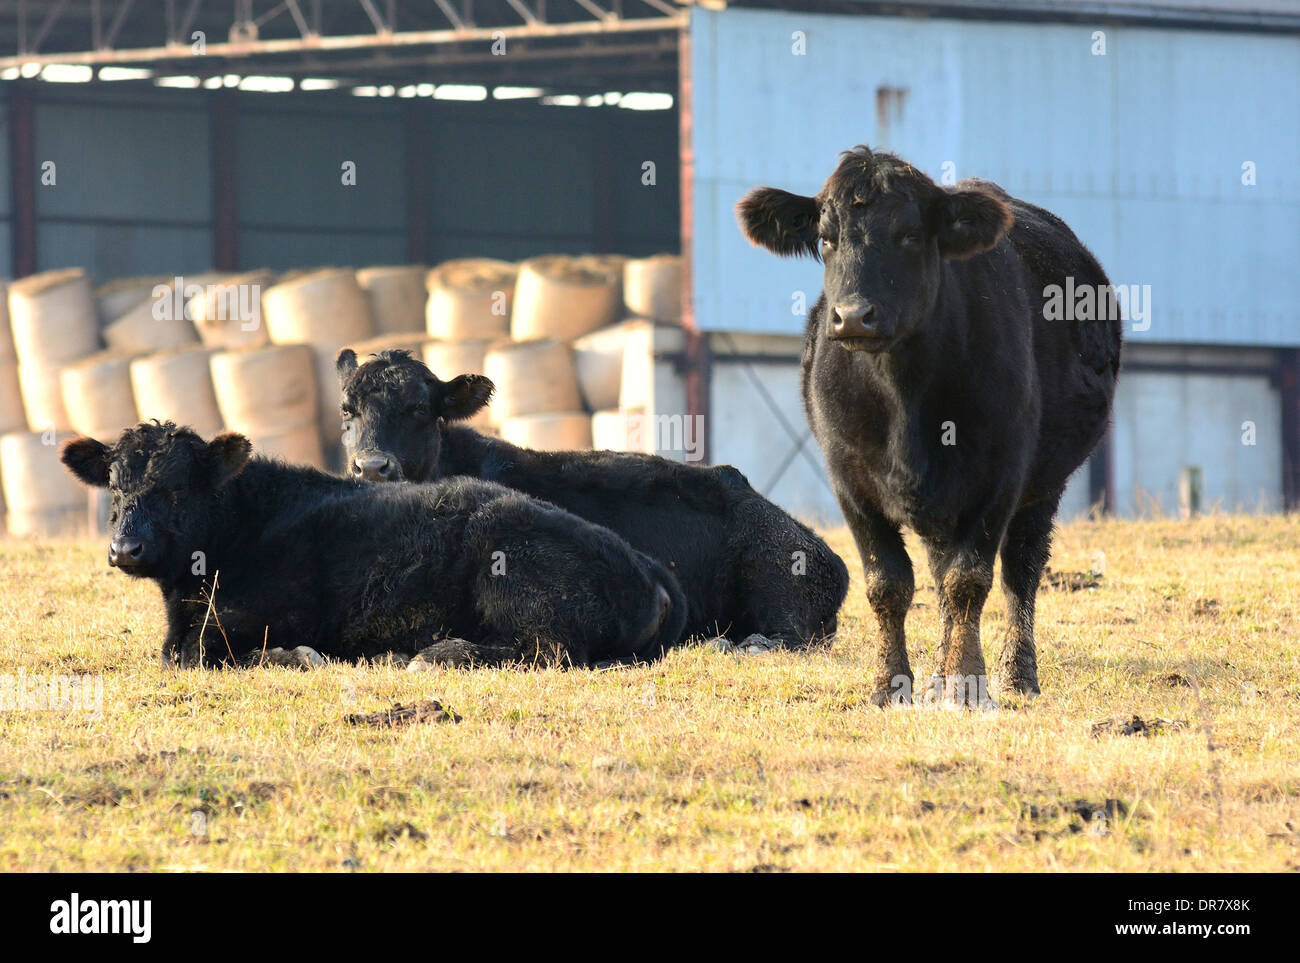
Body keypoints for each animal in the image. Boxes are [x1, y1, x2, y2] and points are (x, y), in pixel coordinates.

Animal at [60, 421, 686, 669]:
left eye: (176, 487)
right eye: (115, 484)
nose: (125, 549)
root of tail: (648, 568)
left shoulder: (251, 620)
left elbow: (199, 655)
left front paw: (297, 657)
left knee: (547, 651)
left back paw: (434, 655)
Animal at [736, 146, 1121, 707]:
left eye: (911, 235)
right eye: (826, 239)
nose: (853, 316)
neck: (904, 398)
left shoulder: (1000, 475)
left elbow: (970, 581)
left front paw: (966, 685)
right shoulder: (849, 479)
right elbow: (888, 584)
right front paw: (890, 687)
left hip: (1043, 485)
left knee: (1020, 572)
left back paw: (1017, 676)